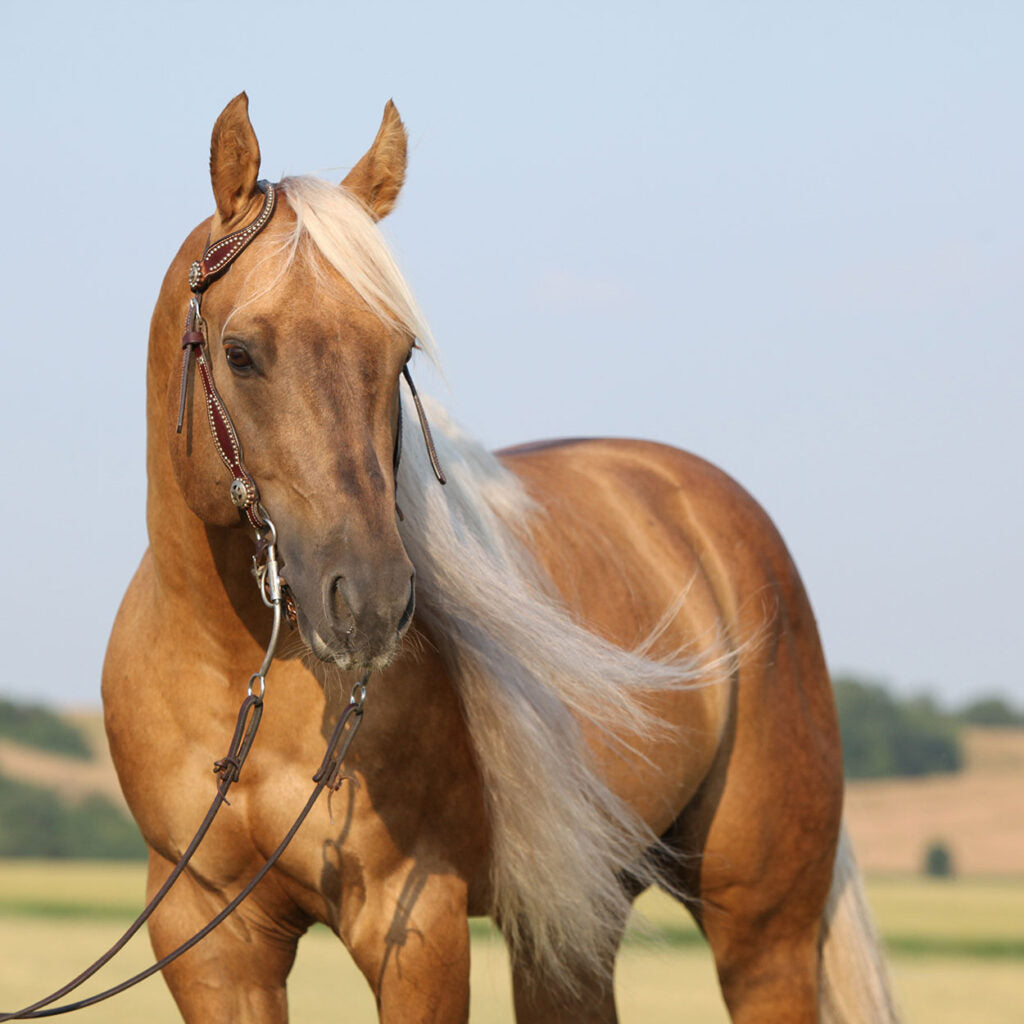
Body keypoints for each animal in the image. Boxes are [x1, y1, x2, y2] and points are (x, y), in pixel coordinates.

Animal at [102, 93, 899, 1023]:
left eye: (400, 353)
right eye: (239, 352)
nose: (370, 602)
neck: (233, 671)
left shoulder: (416, 922)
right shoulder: (209, 938)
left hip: (762, 933)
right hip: (573, 920)